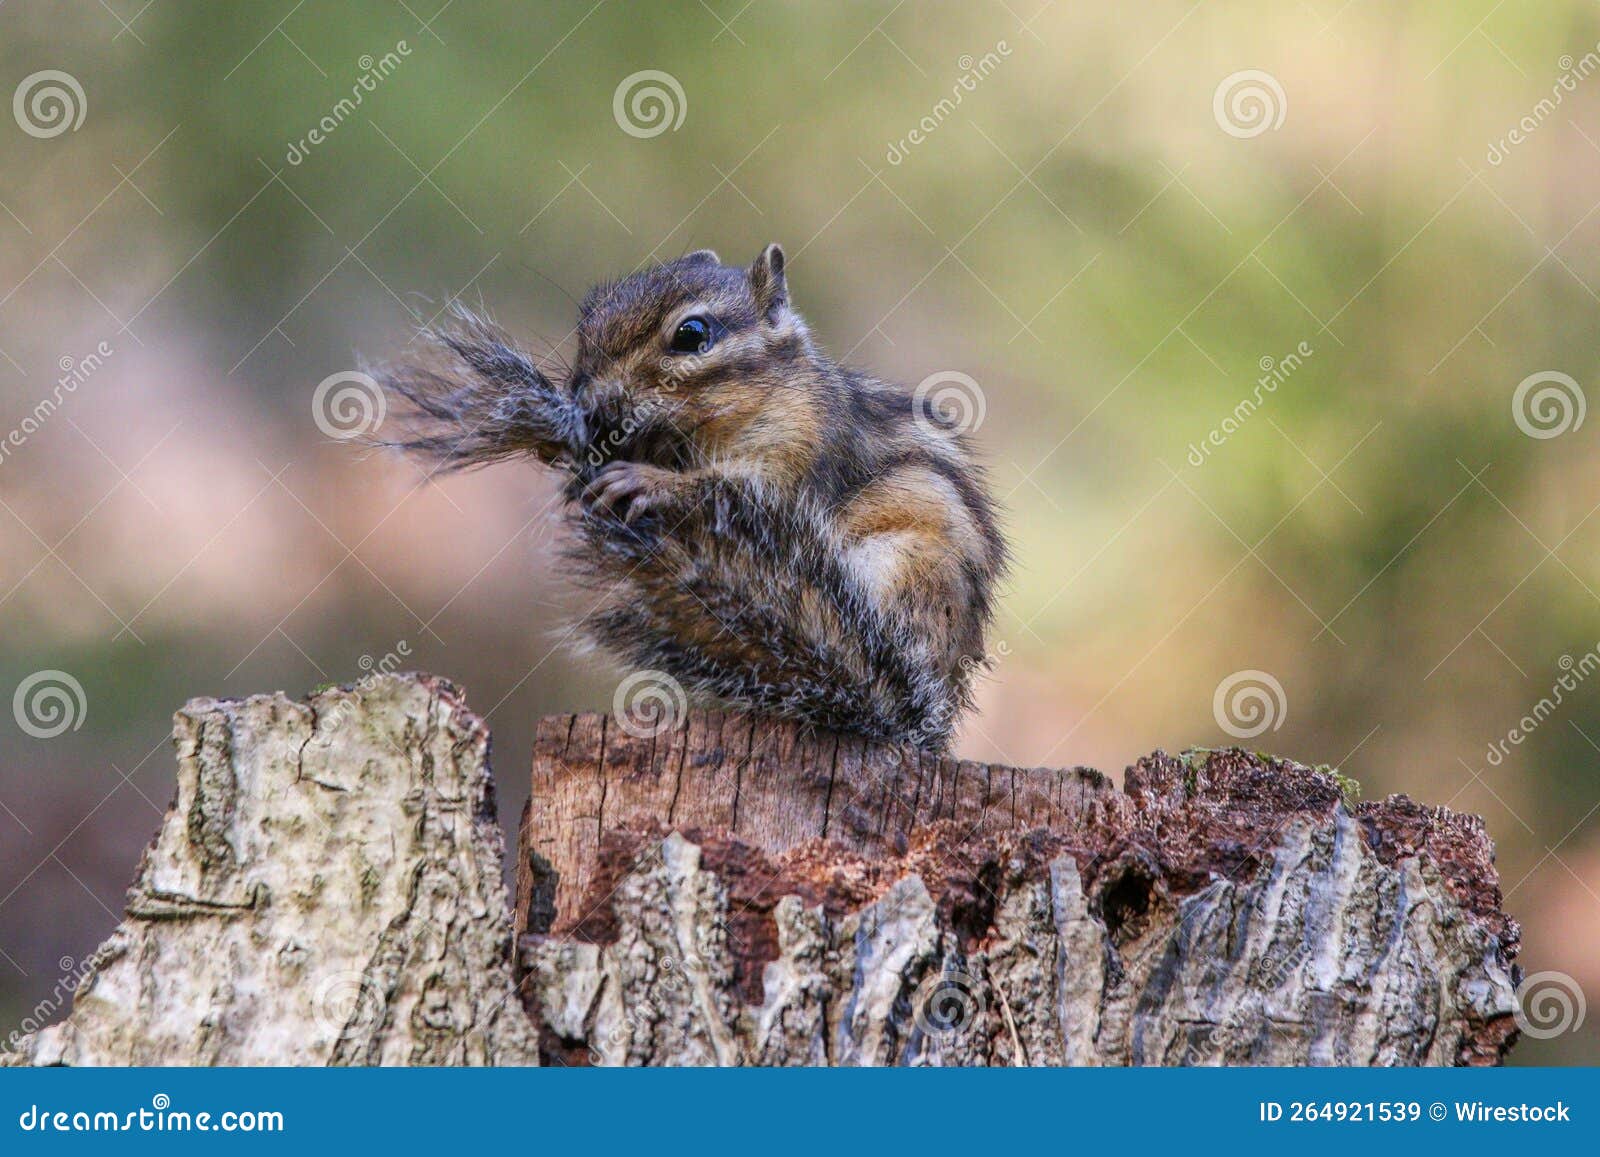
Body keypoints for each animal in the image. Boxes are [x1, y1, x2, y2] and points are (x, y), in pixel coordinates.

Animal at [374, 244, 1007, 751]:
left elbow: (732, 487)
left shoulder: (795, 459)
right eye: (591, 313)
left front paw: (648, 481)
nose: (584, 397)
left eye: (692, 334)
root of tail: (923, 721)